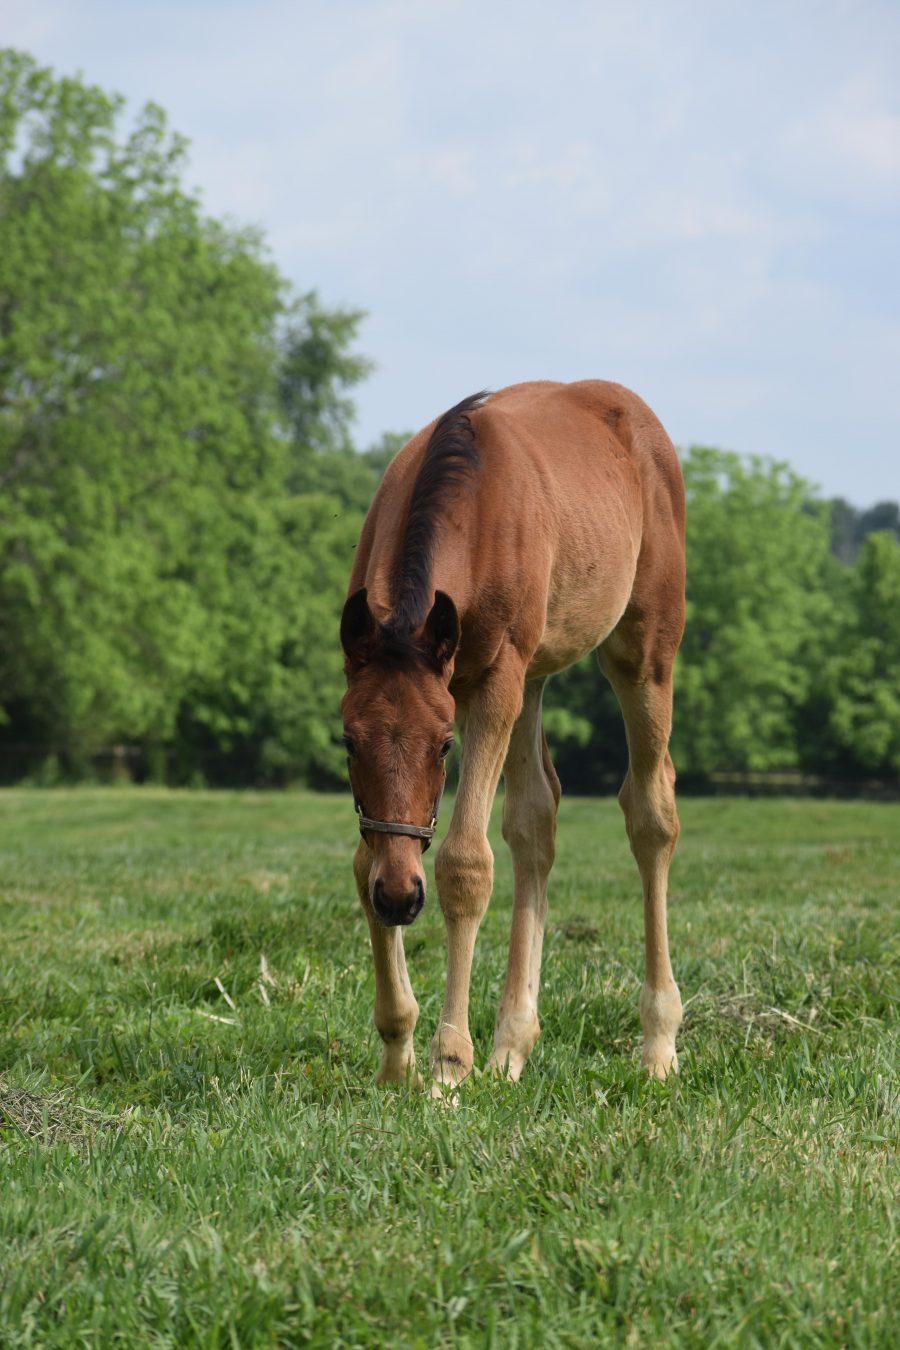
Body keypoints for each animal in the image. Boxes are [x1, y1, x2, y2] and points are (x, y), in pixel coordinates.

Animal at [340, 380, 685, 1092]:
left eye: (444, 745)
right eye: (348, 742)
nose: (400, 896)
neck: (470, 503)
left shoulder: (494, 680)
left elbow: (464, 866)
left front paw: (447, 1066)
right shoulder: (500, 677)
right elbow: (364, 862)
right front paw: (395, 1056)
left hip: (640, 650)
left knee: (651, 811)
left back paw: (658, 1042)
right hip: (534, 674)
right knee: (535, 820)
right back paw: (511, 1049)